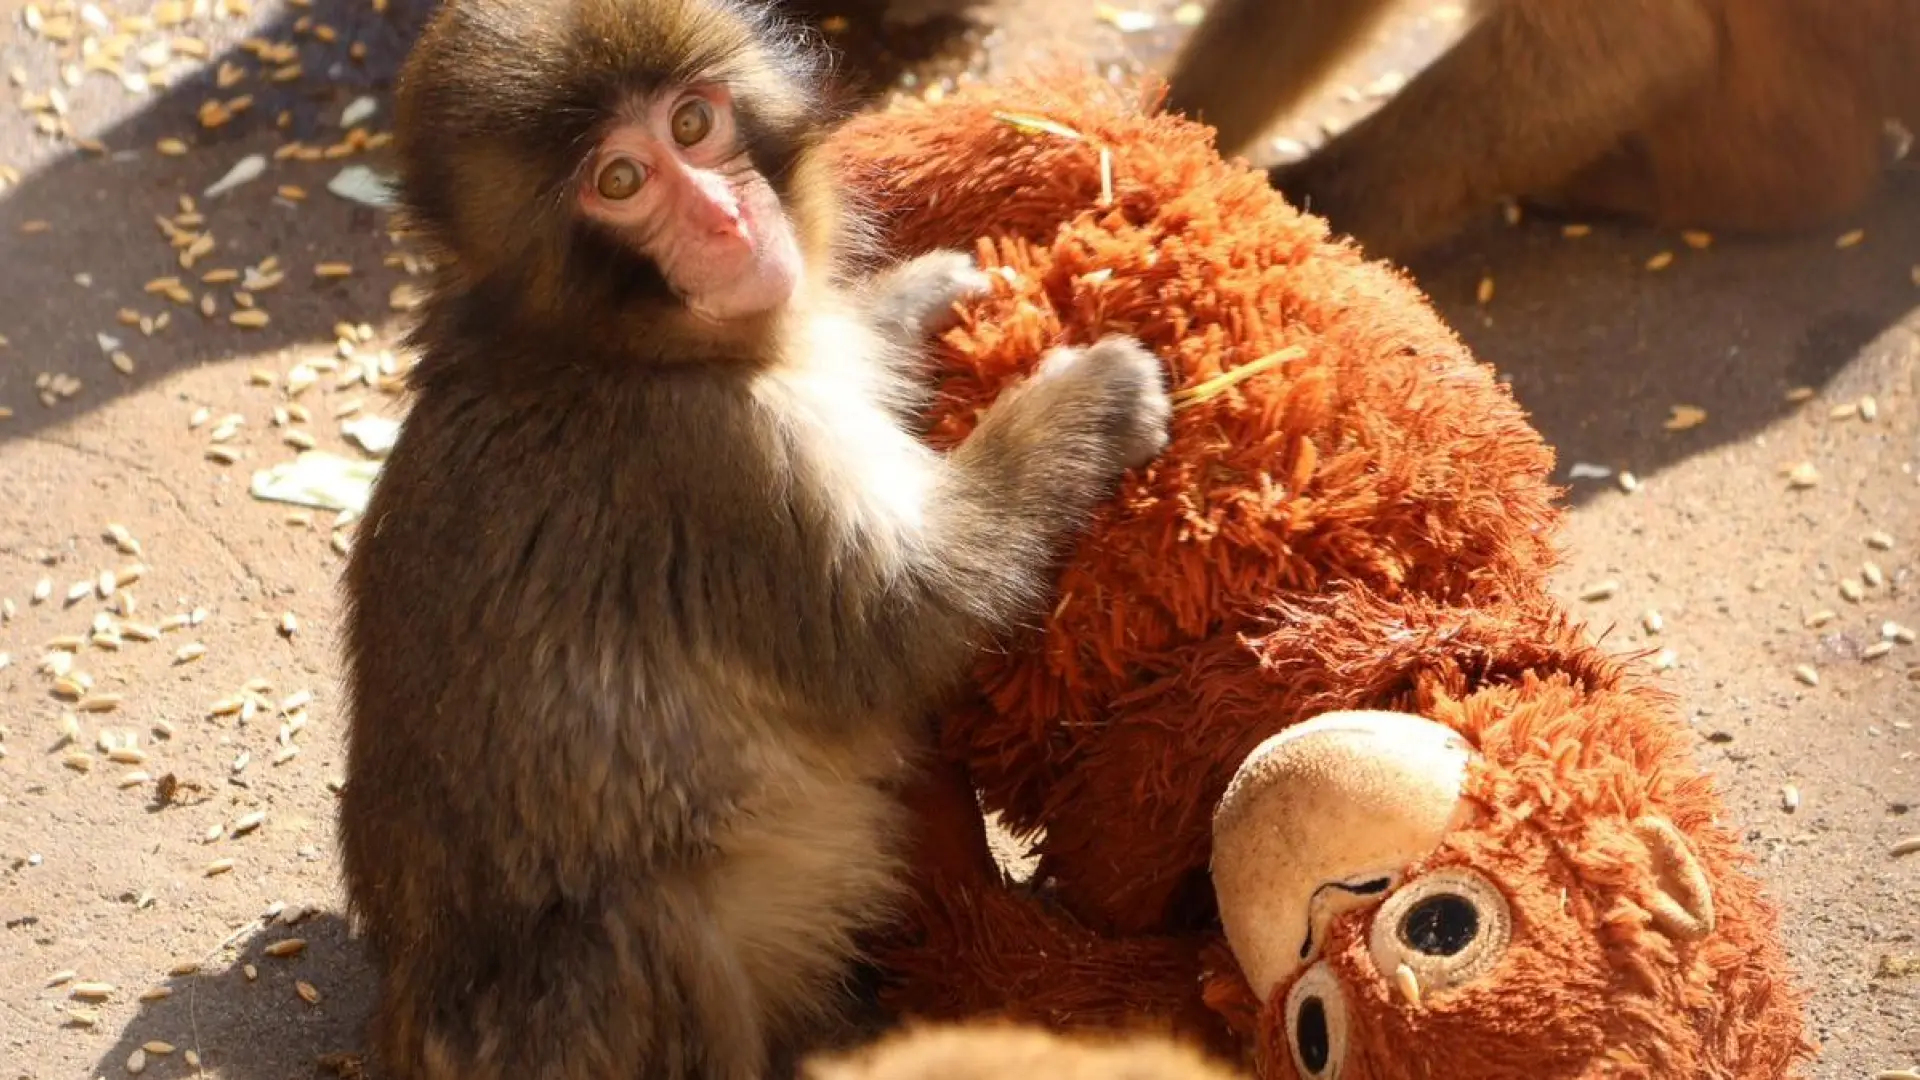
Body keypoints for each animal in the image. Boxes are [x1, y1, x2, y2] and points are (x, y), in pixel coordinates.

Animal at [333, 0, 1174, 1076]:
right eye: (620, 181)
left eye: (693, 125)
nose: (726, 221)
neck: (608, 349)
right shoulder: (717, 460)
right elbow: (901, 621)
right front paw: (1091, 400)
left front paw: (914, 297)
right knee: (640, 929)